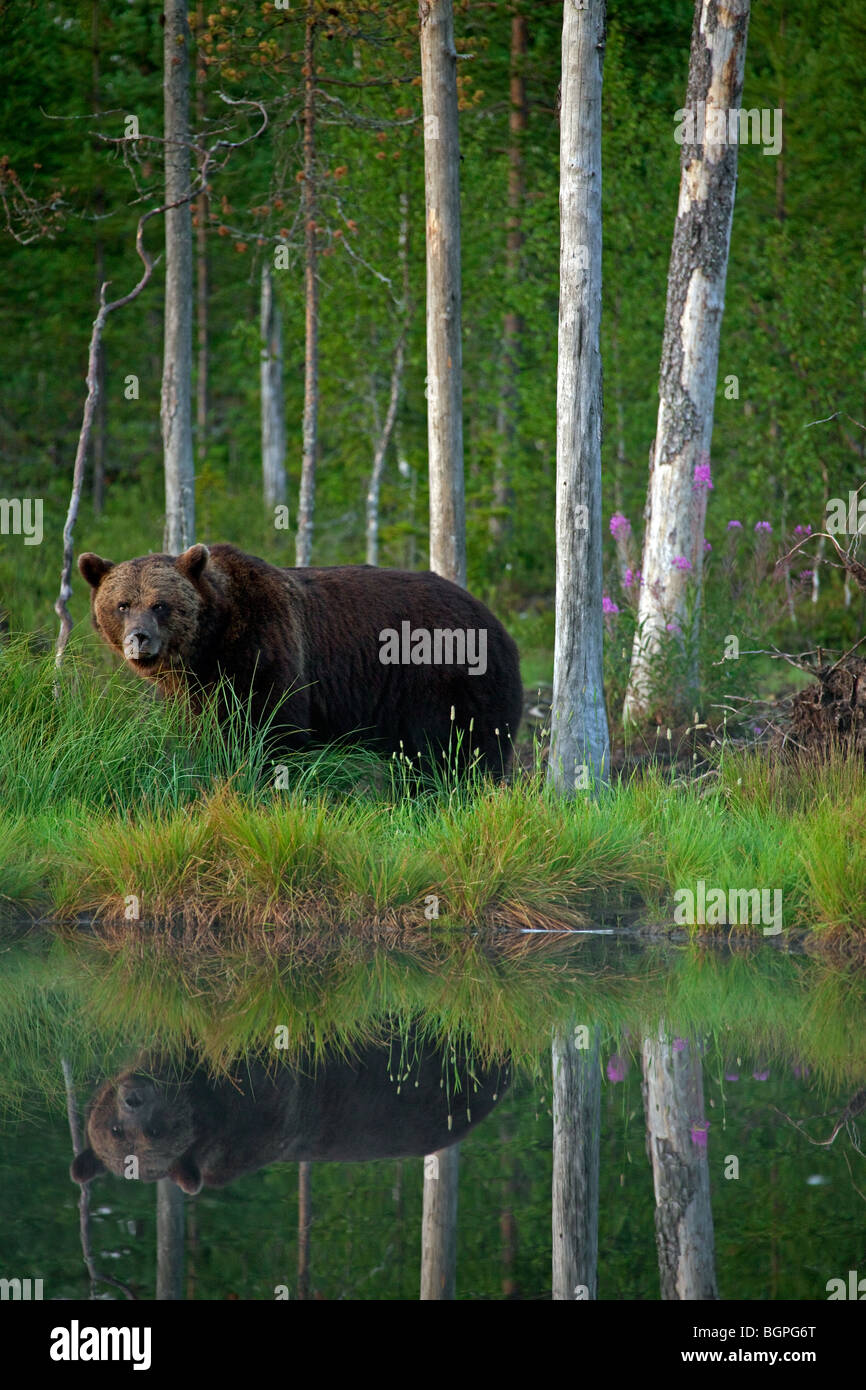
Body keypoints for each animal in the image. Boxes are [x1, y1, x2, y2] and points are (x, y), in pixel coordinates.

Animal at [78, 543, 522, 776]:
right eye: (122, 605)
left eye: (161, 604)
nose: (139, 639)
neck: (211, 645)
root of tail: (495, 621)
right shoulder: (196, 690)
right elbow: (204, 735)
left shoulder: (268, 650)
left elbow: (276, 729)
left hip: (446, 681)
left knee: (461, 750)